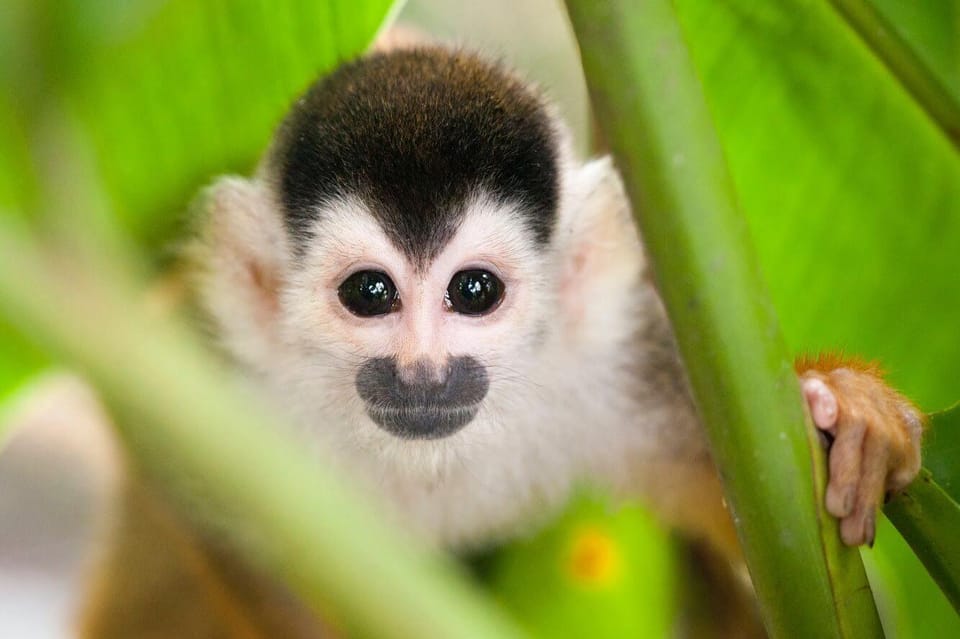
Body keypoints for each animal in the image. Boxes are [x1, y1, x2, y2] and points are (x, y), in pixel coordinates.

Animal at [78, 45, 924, 638]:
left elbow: (763, 528)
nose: (422, 372)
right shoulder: (226, 394)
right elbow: (180, 483)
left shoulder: (616, 372)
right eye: (369, 293)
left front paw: (848, 412)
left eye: (474, 291)